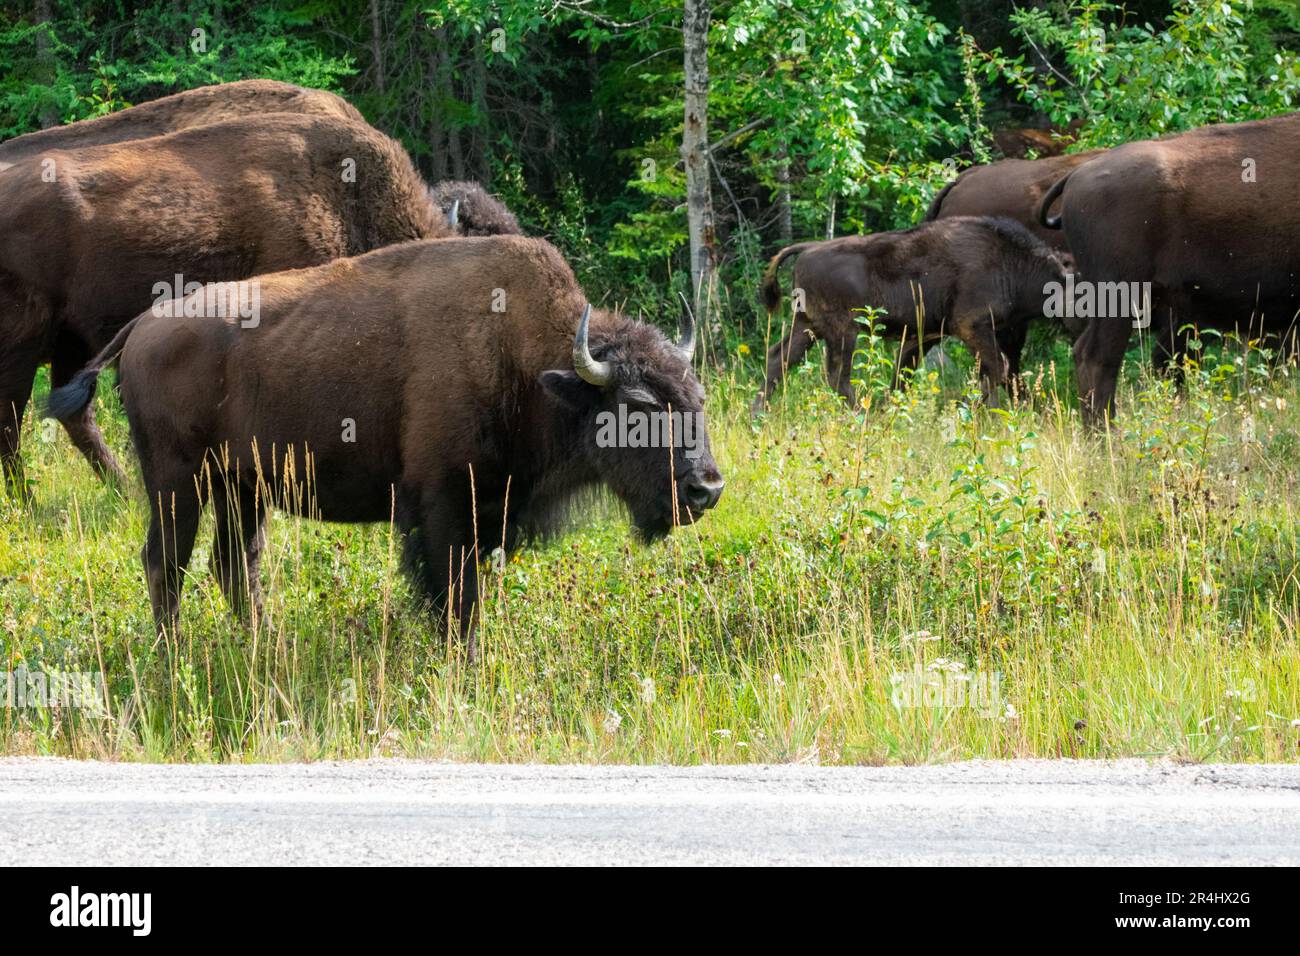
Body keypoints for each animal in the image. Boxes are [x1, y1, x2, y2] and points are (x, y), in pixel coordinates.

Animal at [1, 112, 453, 491]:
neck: (344, 200)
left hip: (72, 341)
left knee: (73, 415)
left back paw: (122, 490)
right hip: (24, 340)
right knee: (12, 422)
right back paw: (29, 500)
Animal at [45, 235, 724, 654]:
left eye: (697, 397)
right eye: (638, 408)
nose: (707, 487)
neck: (530, 365)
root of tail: (143, 327)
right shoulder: (445, 507)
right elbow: (456, 595)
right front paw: (465, 663)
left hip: (245, 489)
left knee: (234, 566)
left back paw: (265, 647)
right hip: (177, 484)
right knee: (167, 564)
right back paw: (175, 660)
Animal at [753, 217, 1069, 410]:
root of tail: (808, 249)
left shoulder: (927, 334)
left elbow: (903, 374)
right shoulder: (972, 326)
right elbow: (998, 368)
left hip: (808, 326)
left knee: (777, 360)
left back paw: (758, 416)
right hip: (842, 332)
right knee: (838, 377)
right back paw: (858, 416)